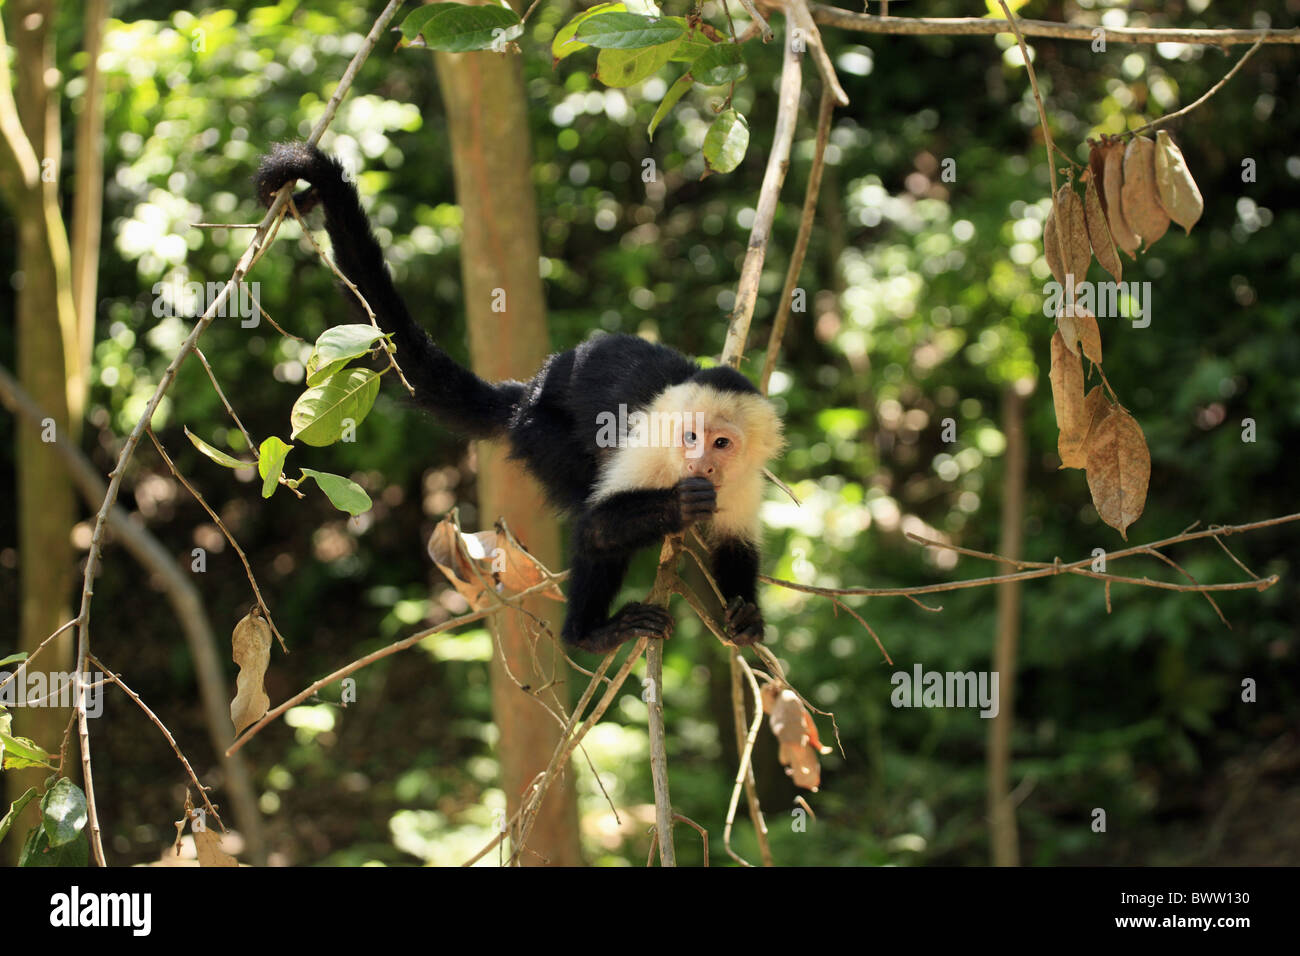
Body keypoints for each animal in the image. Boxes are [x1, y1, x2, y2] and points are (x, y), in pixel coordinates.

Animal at [254, 142, 783, 653]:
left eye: (721, 444)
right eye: (691, 437)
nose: (700, 464)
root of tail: (529, 392)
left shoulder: (744, 478)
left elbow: (736, 545)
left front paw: (745, 615)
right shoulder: (650, 452)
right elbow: (595, 527)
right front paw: (679, 504)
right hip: (543, 436)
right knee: (592, 521)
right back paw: (590, 634)